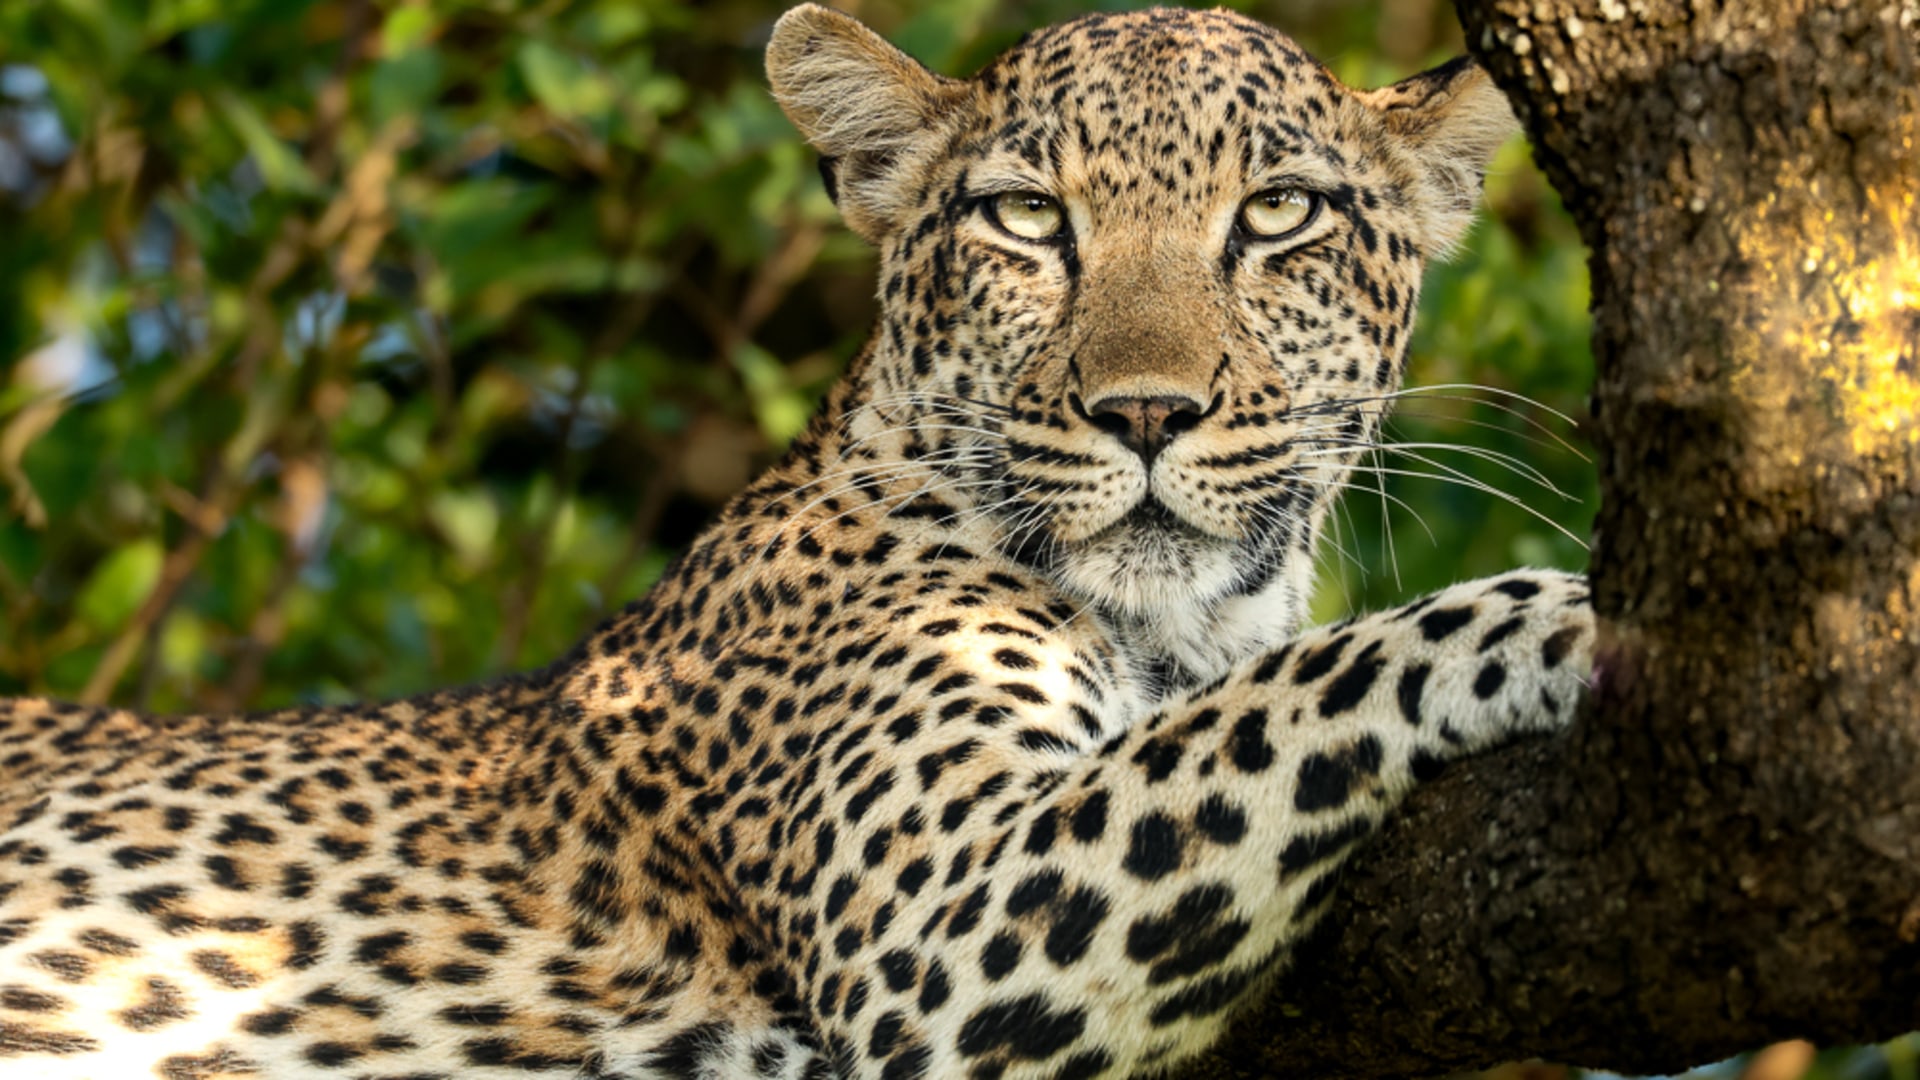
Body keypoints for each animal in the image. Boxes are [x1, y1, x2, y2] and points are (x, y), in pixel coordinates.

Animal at [0, 5, 1594, 1078]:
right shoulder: (944, 922)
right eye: (1029, 217)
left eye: (1279, 215)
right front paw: (1570, 617)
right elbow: (1318, 679)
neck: (1185, 629)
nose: (1145, 410)